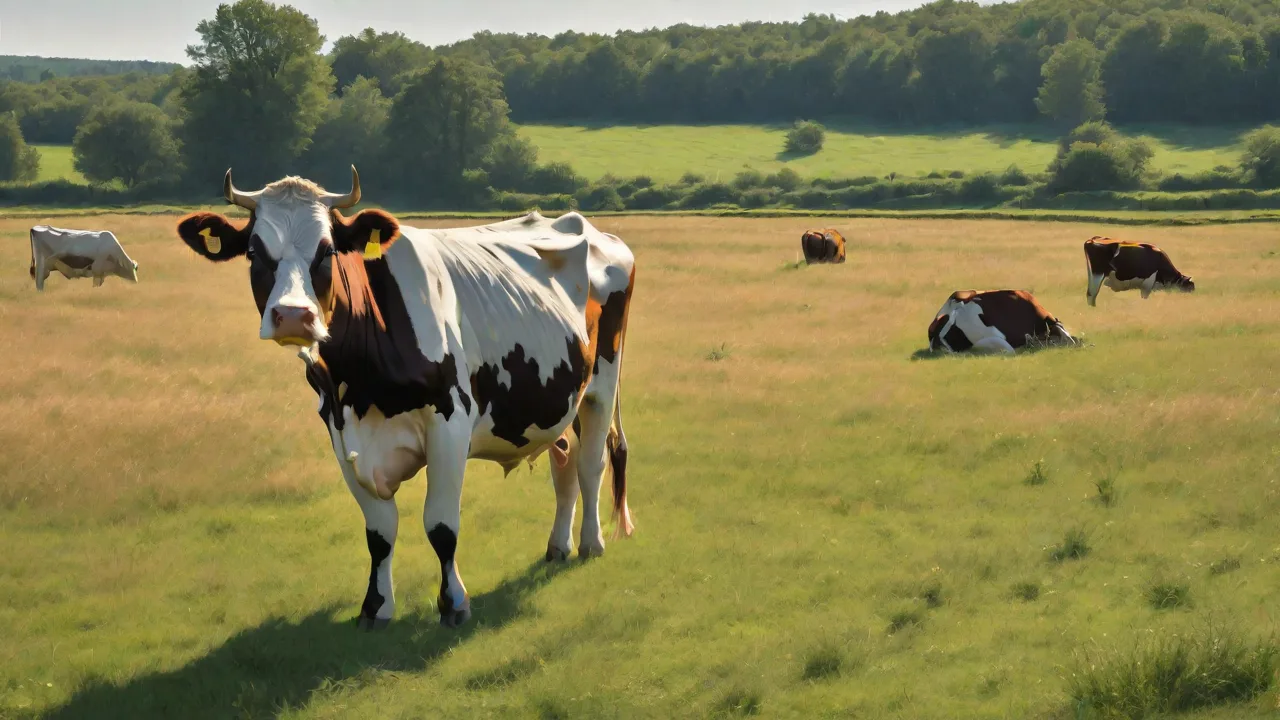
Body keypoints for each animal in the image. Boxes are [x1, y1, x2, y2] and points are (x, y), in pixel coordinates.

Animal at [175, 167, 637, 630]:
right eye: (254, 252)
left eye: (327, 251)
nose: (292, 316)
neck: (360, 381)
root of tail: (590, 228)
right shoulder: (340, 432)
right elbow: (379, 531)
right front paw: (376, 606)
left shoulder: (450, 424)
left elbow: (441, 525)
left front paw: (454, 603)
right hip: (559, 399)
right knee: (564, 466)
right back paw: (558, 546)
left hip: (601, 385)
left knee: (591, 463)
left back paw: (591, 543)